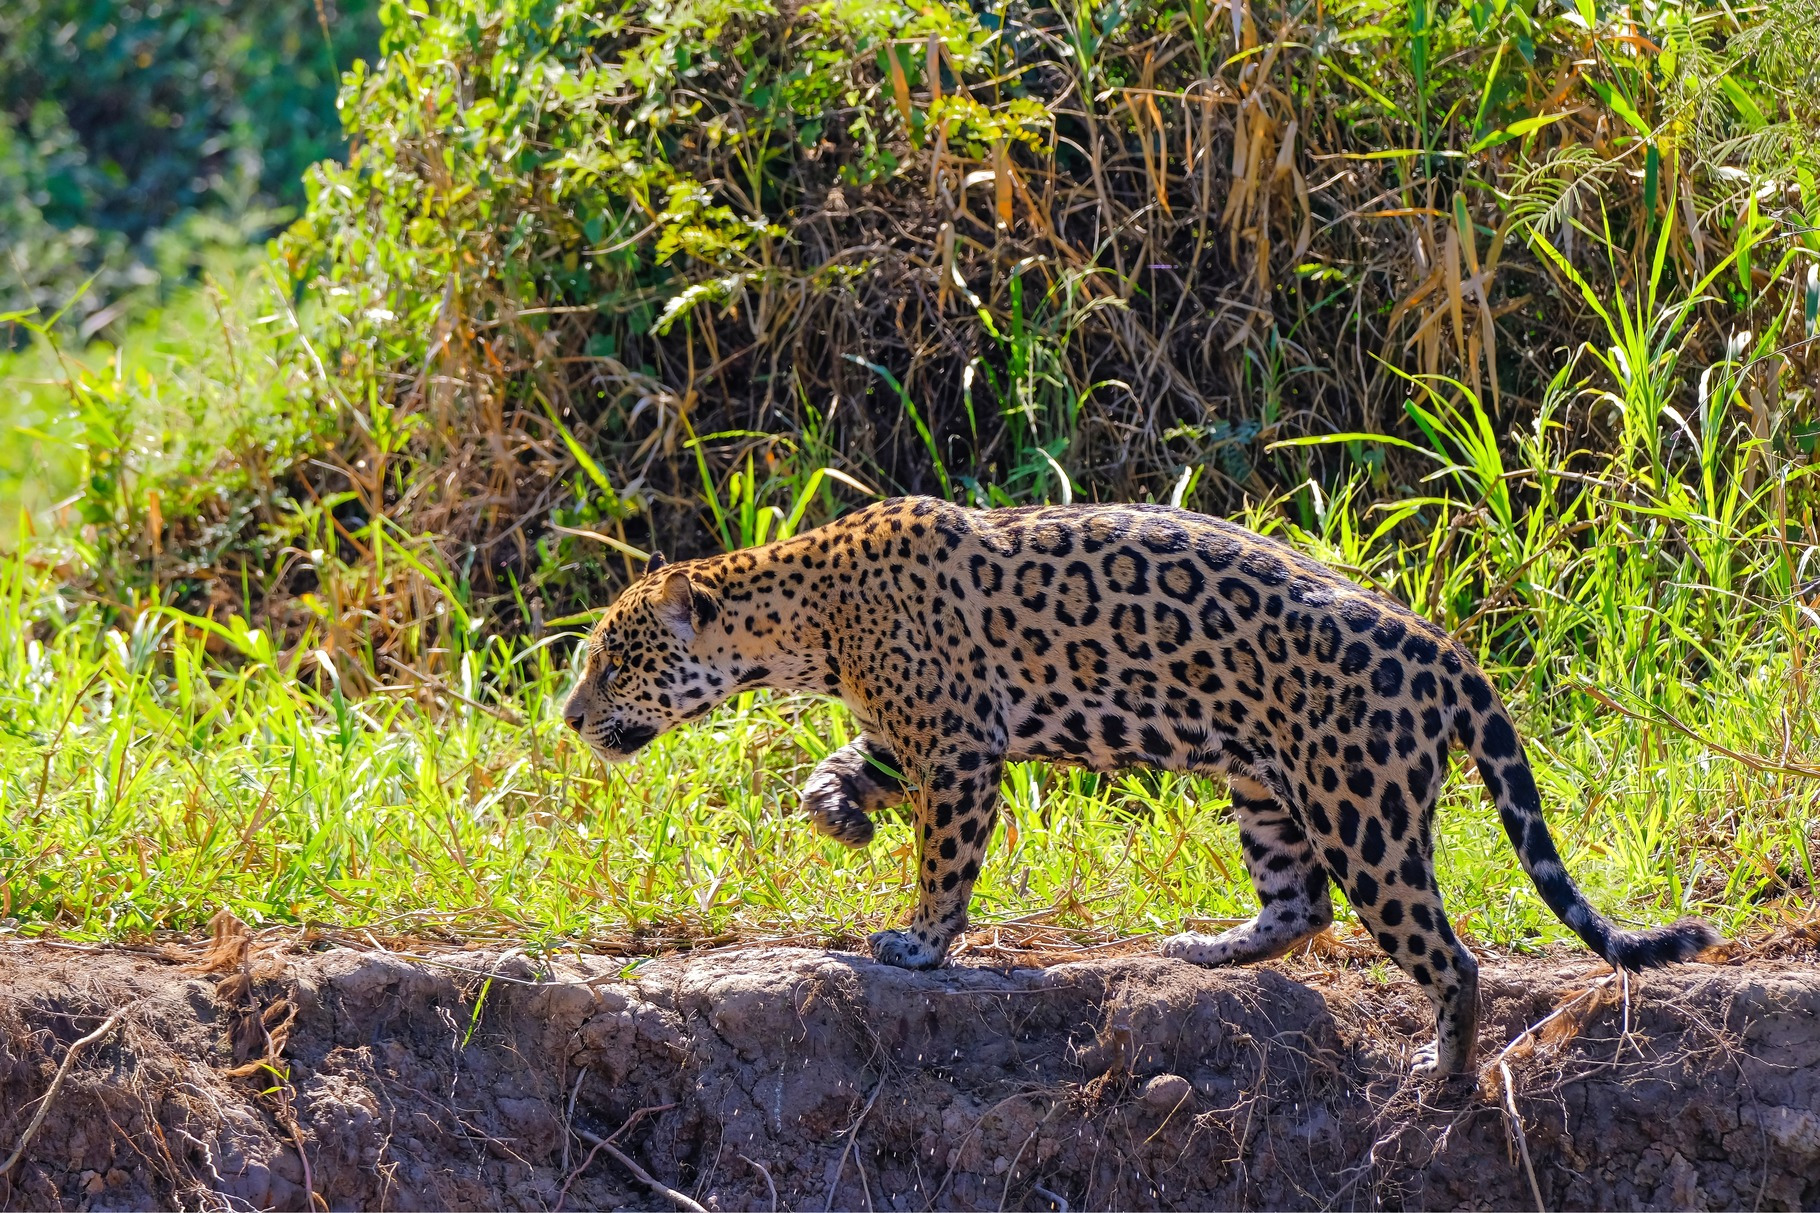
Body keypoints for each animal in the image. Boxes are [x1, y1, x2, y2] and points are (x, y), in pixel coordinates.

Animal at [561, 497, 1718, 1075]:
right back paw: (1205, 948)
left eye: (611, 661)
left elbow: (945, 859)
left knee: (1447, 953)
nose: (567, 719)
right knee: (1298, 905)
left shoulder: (960, 744)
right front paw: (836, 808)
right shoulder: (921, 729)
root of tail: (1446, 649)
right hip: (1266, 784)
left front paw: (920, 945)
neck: (804, 621)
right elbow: (846, 769)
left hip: (1365, 811)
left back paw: (1445, 1069)